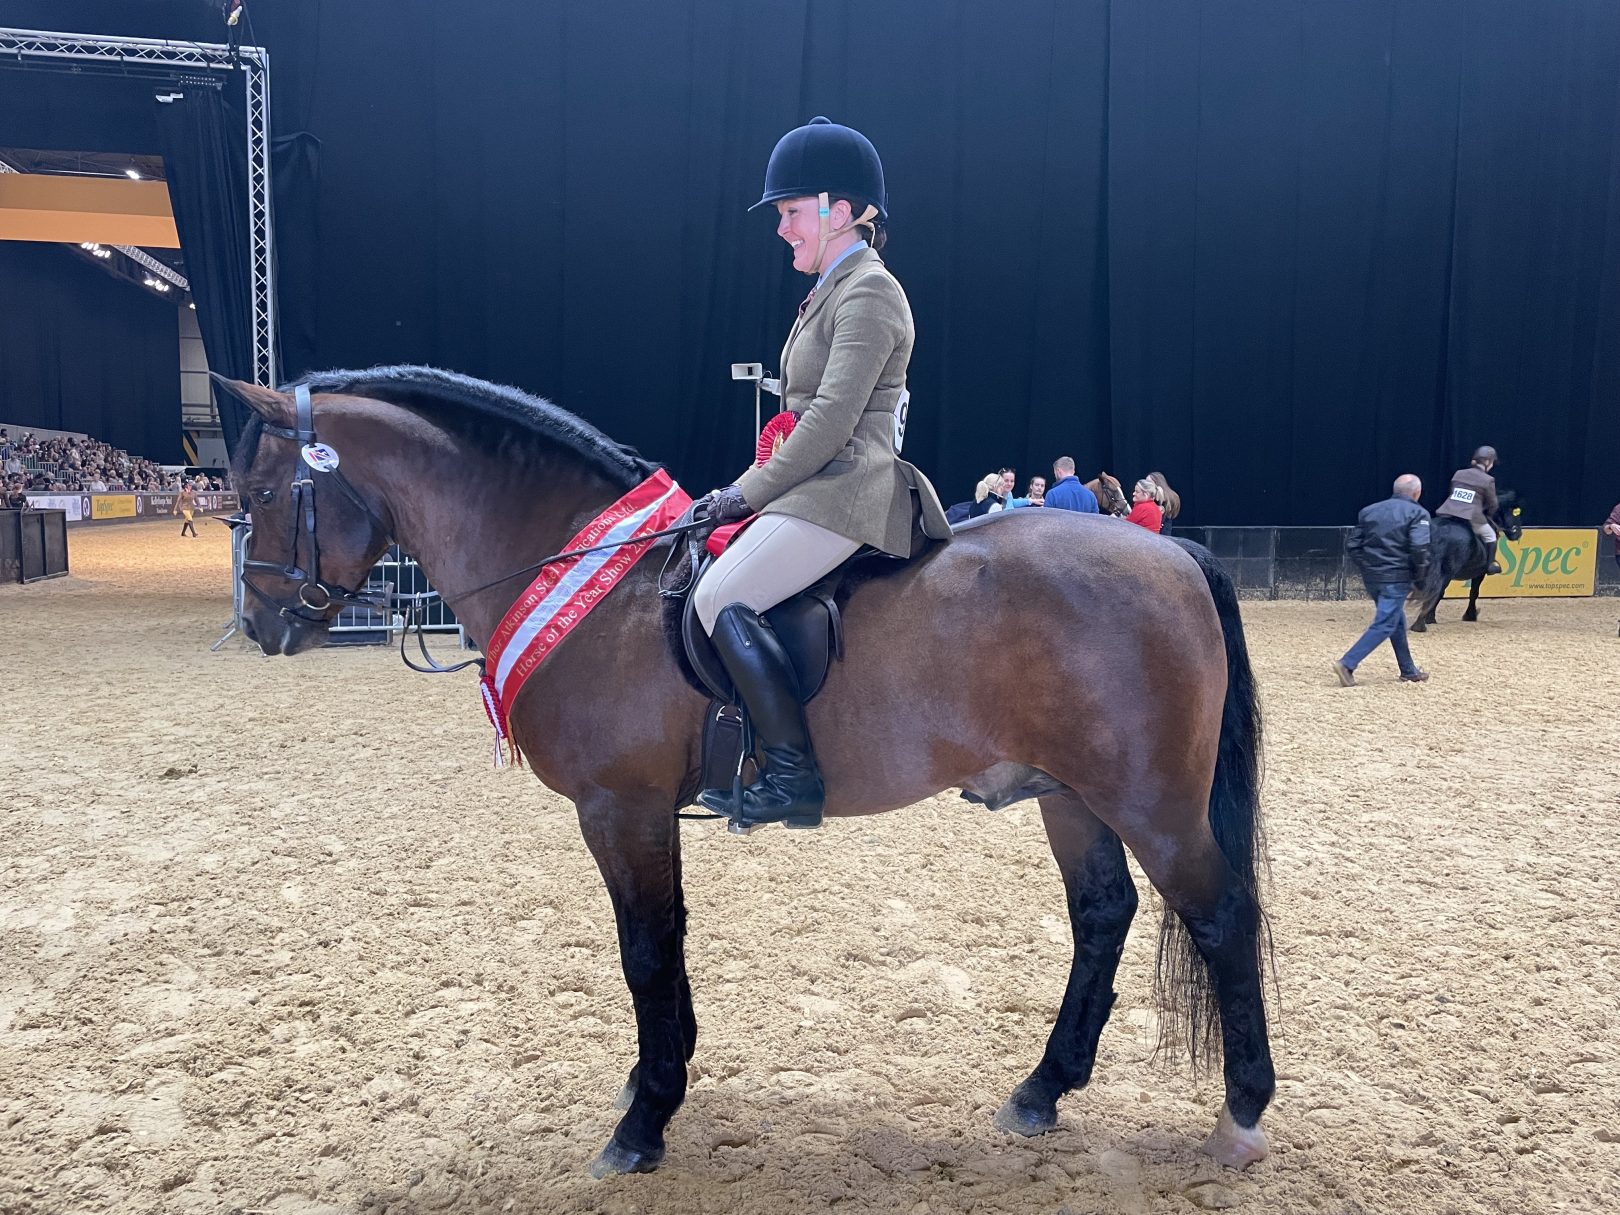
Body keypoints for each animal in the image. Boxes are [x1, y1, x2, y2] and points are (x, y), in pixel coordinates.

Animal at [216, 366, 1275, 1180]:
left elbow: (644, 949)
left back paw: (1243, 1111)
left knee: (1221, 916)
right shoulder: (643, 814)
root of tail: (1174, 552)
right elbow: (668, 941)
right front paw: (659, 1078)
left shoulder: (621, 809)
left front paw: (643, 1121)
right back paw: (1043, 1089)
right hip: (1070, 795)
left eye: (261, 496)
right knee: (1102, 913)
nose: (266, 625)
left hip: (1150, 800)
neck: (596, 583)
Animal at [1407, 497, 1522, 633]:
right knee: (1435, 592)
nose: (1518, 533)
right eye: (1514, 513)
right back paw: (1420, 625)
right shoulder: (1480, 573)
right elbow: (1474, 593)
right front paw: (1470, 615)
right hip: (1446, 574)